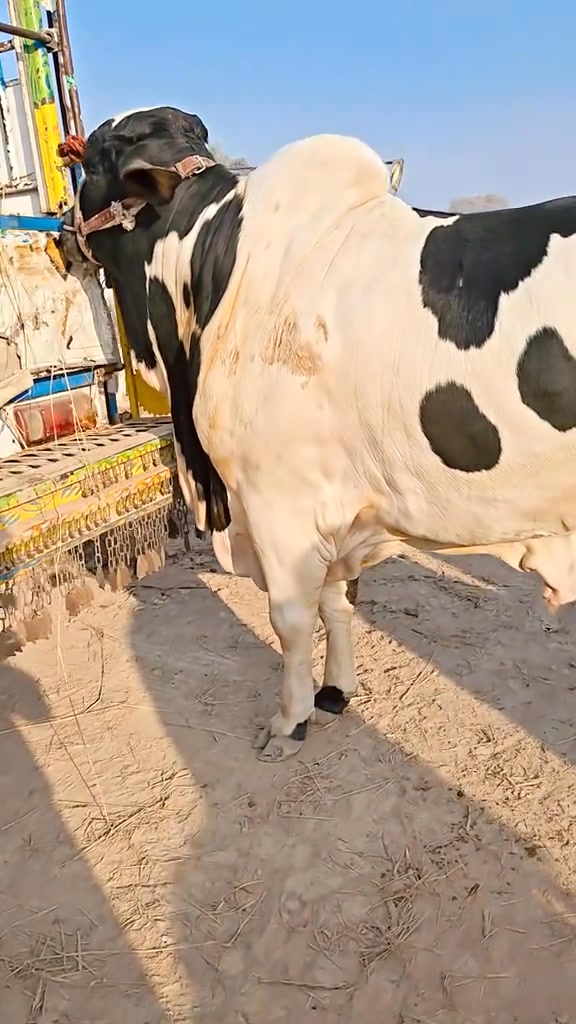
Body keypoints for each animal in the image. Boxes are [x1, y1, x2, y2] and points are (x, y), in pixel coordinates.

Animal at [59, 105, 576, 764]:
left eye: (92, 156)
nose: (60, 232)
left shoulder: (278, 504)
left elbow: (291, 618)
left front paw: (290, 719)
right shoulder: (341, 511)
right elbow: (339, 600)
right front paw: (334, 692)